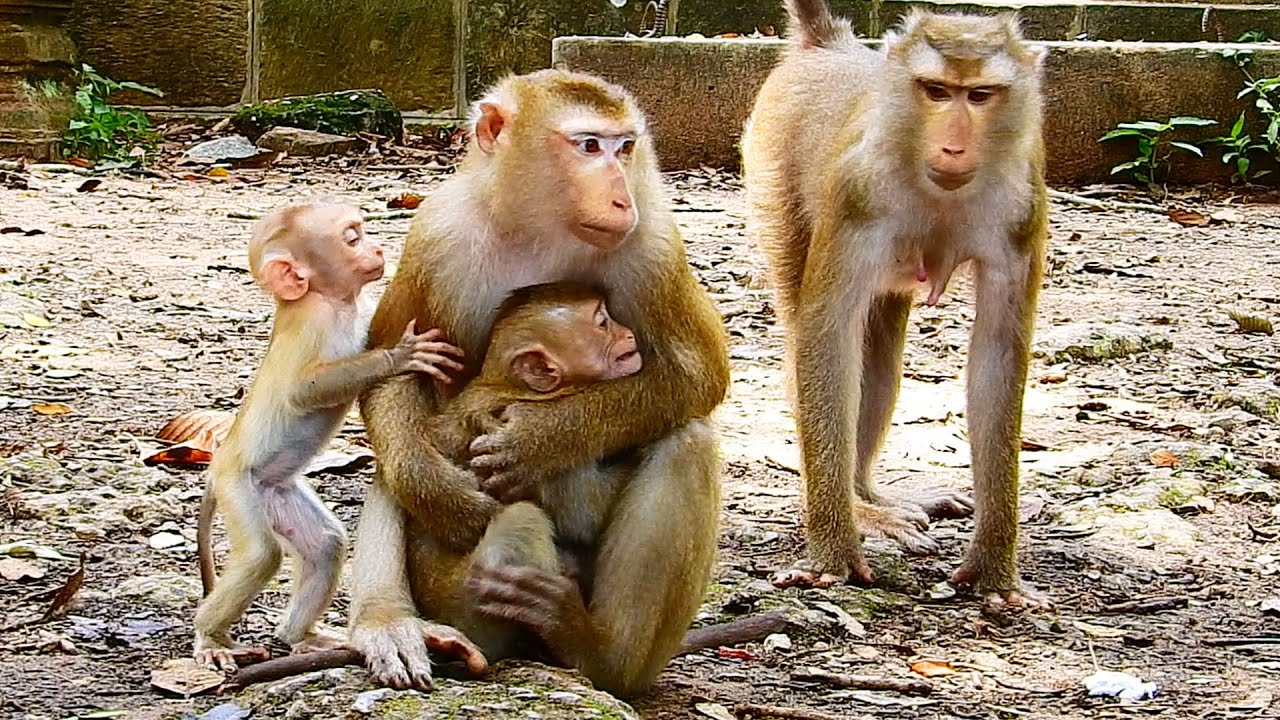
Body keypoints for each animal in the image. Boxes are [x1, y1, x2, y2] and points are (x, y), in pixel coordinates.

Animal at [192, 200, 479, 672]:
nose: (378, 248)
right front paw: (400, 356)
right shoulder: (316, 323)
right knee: (261, 555)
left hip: (275, 493)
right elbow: (303, 390)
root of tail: (217, 465)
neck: (335, 301)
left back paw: (301, 637)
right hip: (239, 487)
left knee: (326, 546)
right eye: (351, 237)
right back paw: (211, 636)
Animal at [344, 69, 731, 697]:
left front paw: (540, 440)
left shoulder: (652, 245)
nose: (621, 194)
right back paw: (393, 625)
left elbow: (697, 375)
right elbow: (398, 364)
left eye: (625, 147)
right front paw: (441, 492)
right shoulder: (437, 232)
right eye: (589, 146)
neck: (540, 228)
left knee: (687, 440)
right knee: (392, 462)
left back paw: (601, 654)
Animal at [741, 0, 1052, 609]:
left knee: (879, 354)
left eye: (979, 95)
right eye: (936, 90)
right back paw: (859, 510)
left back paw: (870, 495)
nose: (953, 146)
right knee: (819, 337)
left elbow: (998, 355)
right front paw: (833, 552)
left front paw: (994, 568)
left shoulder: (1022, 205)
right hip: (774, 174)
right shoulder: (857, 190)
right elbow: (826, 336)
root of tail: (828, 46)